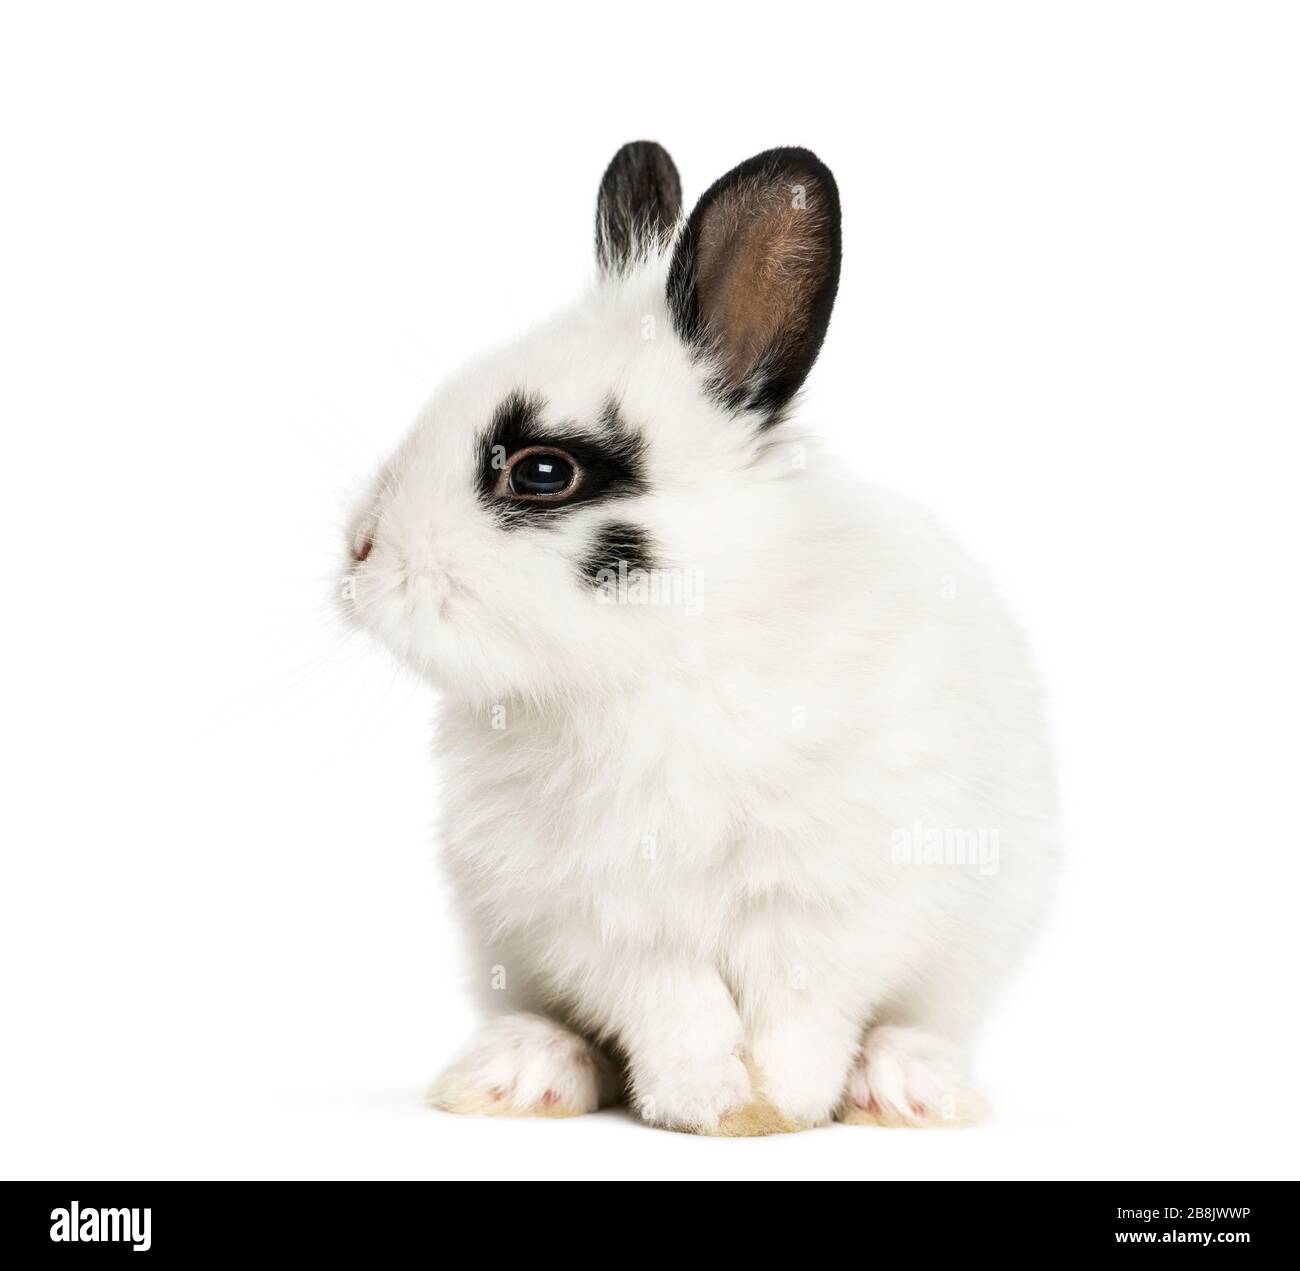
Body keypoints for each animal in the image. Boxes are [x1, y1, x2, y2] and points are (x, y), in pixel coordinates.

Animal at [339, 141, 1058, 1134]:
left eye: (543, 472)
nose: (359, 551)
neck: (670, 659)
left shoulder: (843, 898)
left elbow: (807, 1004)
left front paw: (780, 1103)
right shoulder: (597, 916)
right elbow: (668, 1003)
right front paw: (712, 1100)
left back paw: (908, 1086)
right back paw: (522, 1071)